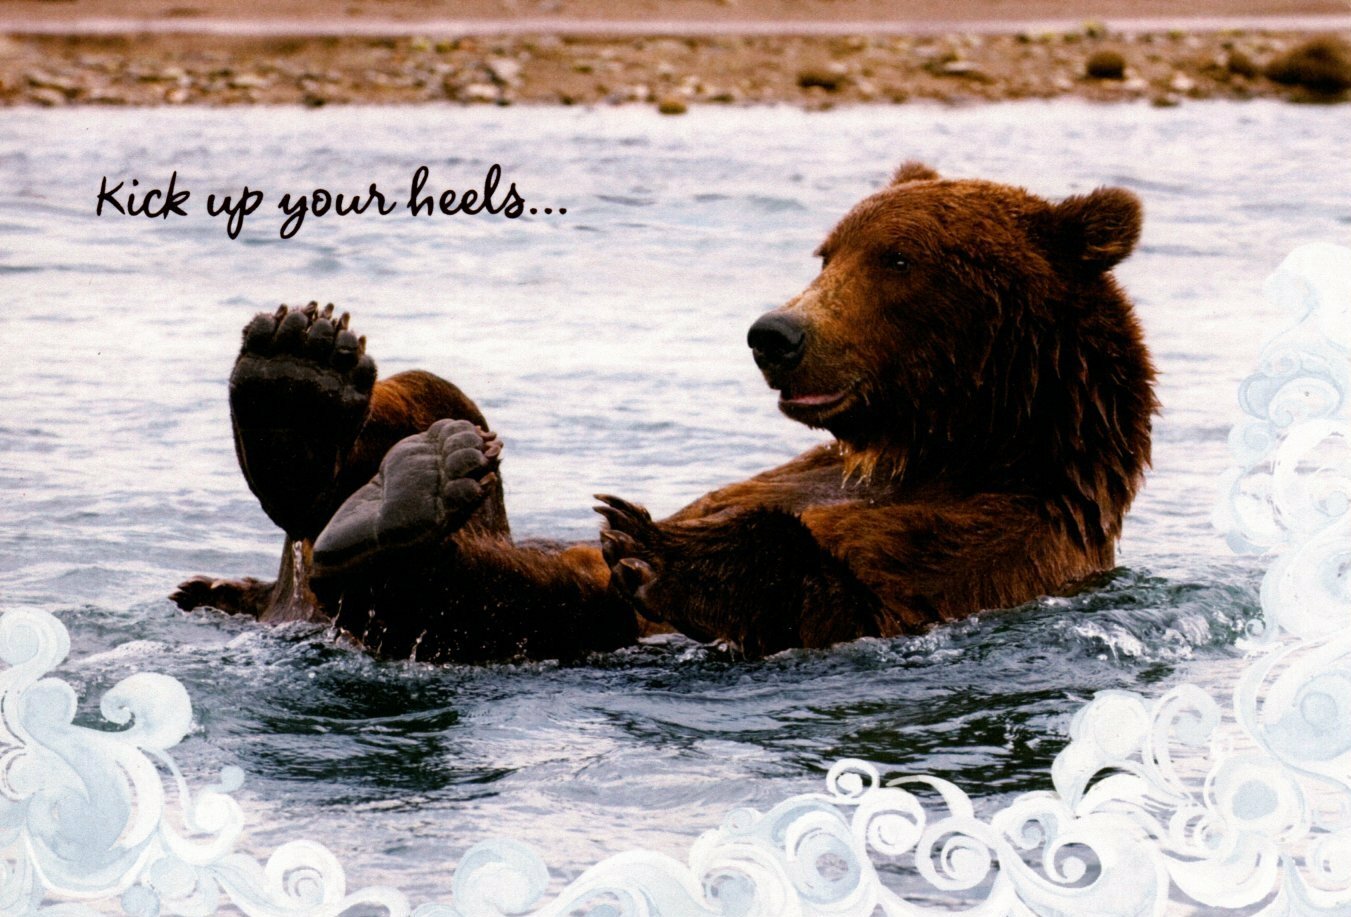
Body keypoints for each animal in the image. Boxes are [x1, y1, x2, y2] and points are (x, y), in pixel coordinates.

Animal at [173, 162, 1156, 662]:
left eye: (901, 261)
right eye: (828, 250)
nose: (776, 331)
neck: (933, 448)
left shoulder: (995, 551)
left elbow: (839, 597)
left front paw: (661, 544)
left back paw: (391, 507)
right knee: (439, 420)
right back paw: (303, 383)